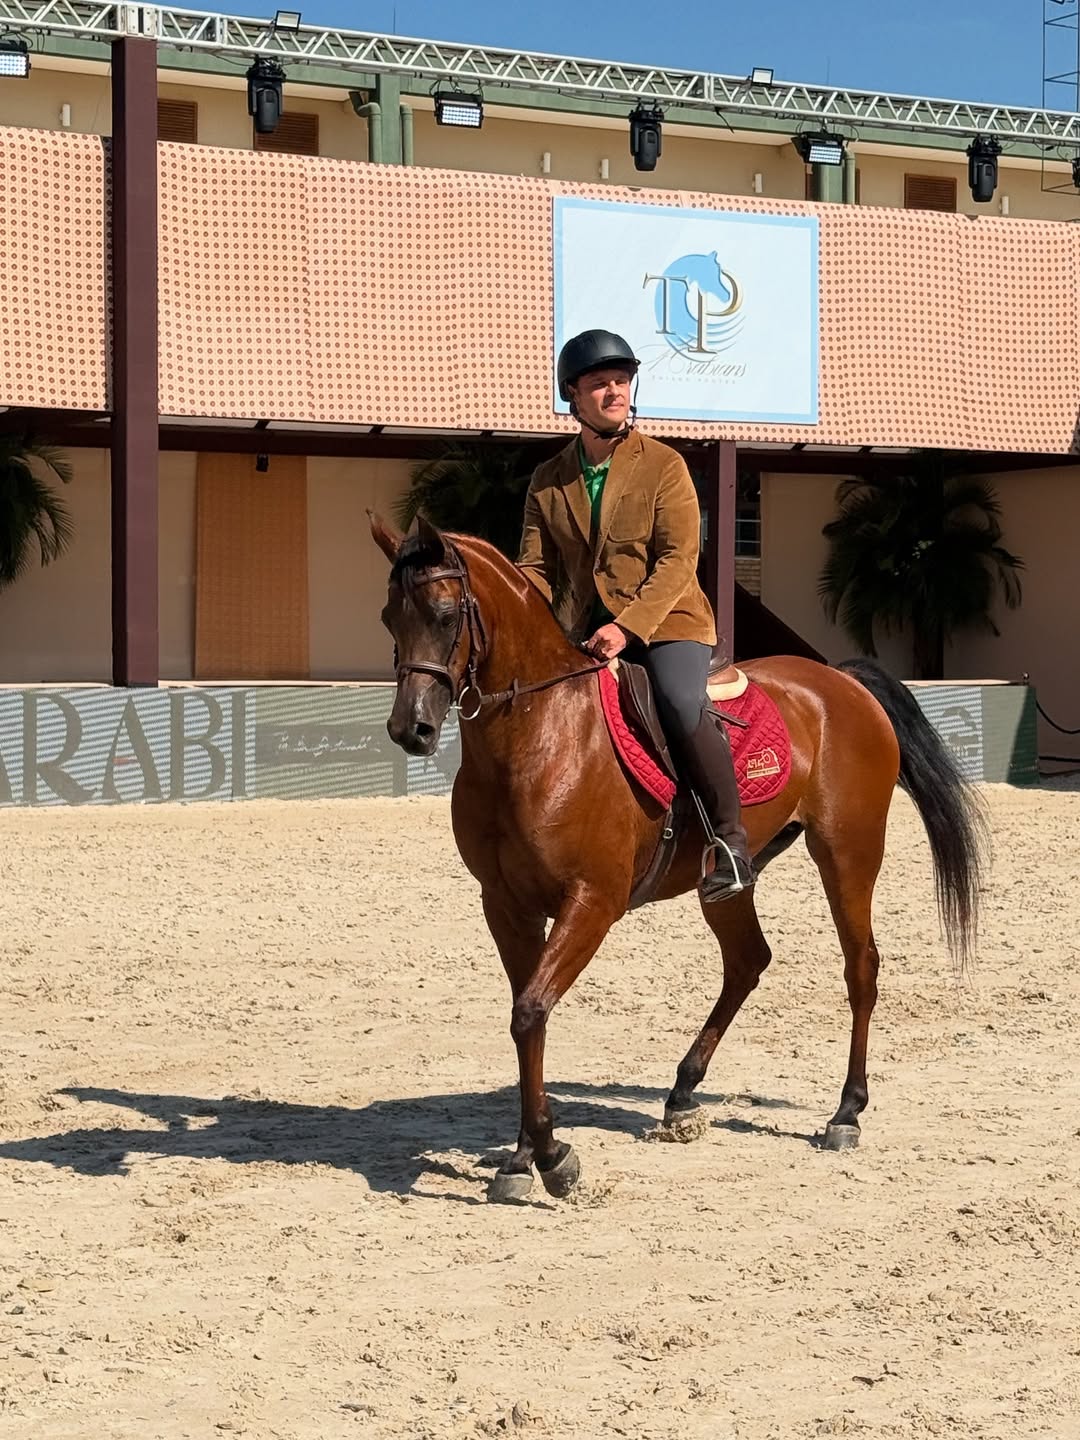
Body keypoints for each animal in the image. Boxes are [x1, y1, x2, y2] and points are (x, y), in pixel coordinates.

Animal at [369, 512, 986, 1204]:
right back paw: (683, 1094)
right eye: (390, 616)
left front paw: (551, 1157)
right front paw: (525, 1155)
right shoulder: (506, 906)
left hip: (848, 852)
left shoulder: (592, 901)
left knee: (861, 968)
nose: (411, 730)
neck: (538, 734)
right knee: (747, 961)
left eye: (447, 614)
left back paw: (846, 1112)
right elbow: (528, 1016)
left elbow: (529, 1012)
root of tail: (843, 681)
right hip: (727, 877)